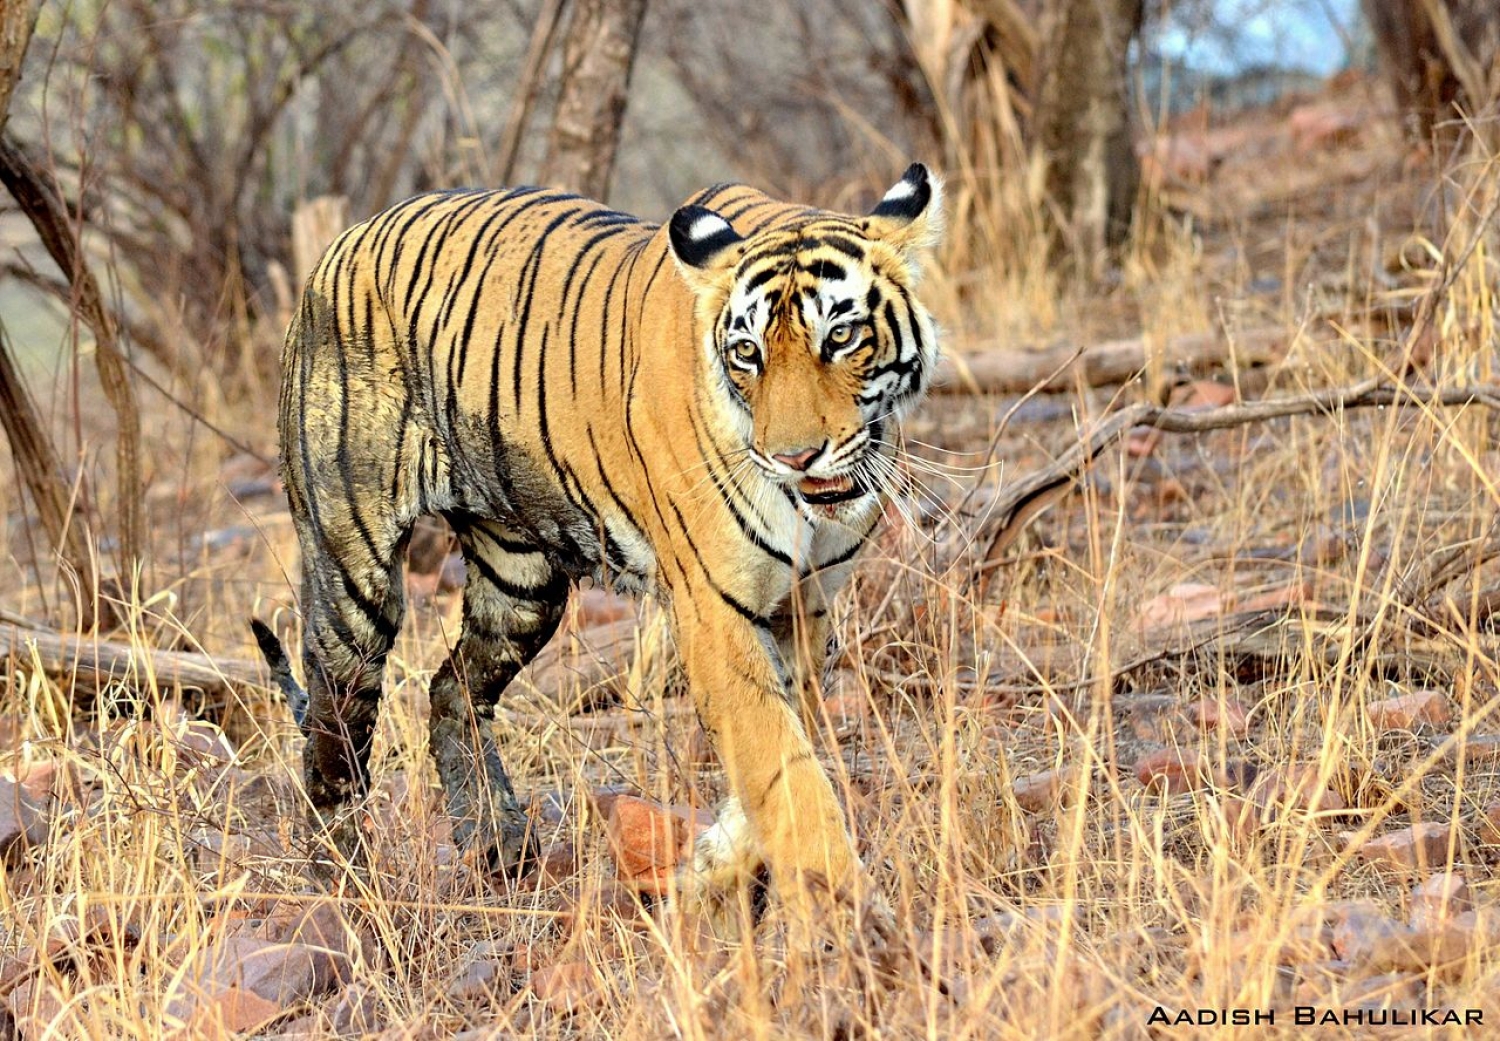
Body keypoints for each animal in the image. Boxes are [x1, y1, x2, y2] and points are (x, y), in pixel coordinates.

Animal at [253, 164, 943, 914]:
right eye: (748, 354)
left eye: (841, 339)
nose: (794, 457)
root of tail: (342, 242)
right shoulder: (715, 612)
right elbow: (781, 767)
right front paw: (844, 904)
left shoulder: (805, 607)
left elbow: (781, 750)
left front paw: (710, 866)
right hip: (355, 573)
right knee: (335, 722)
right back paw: (346, 880)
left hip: (521, 586)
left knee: (451, 688)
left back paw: (497, 842)